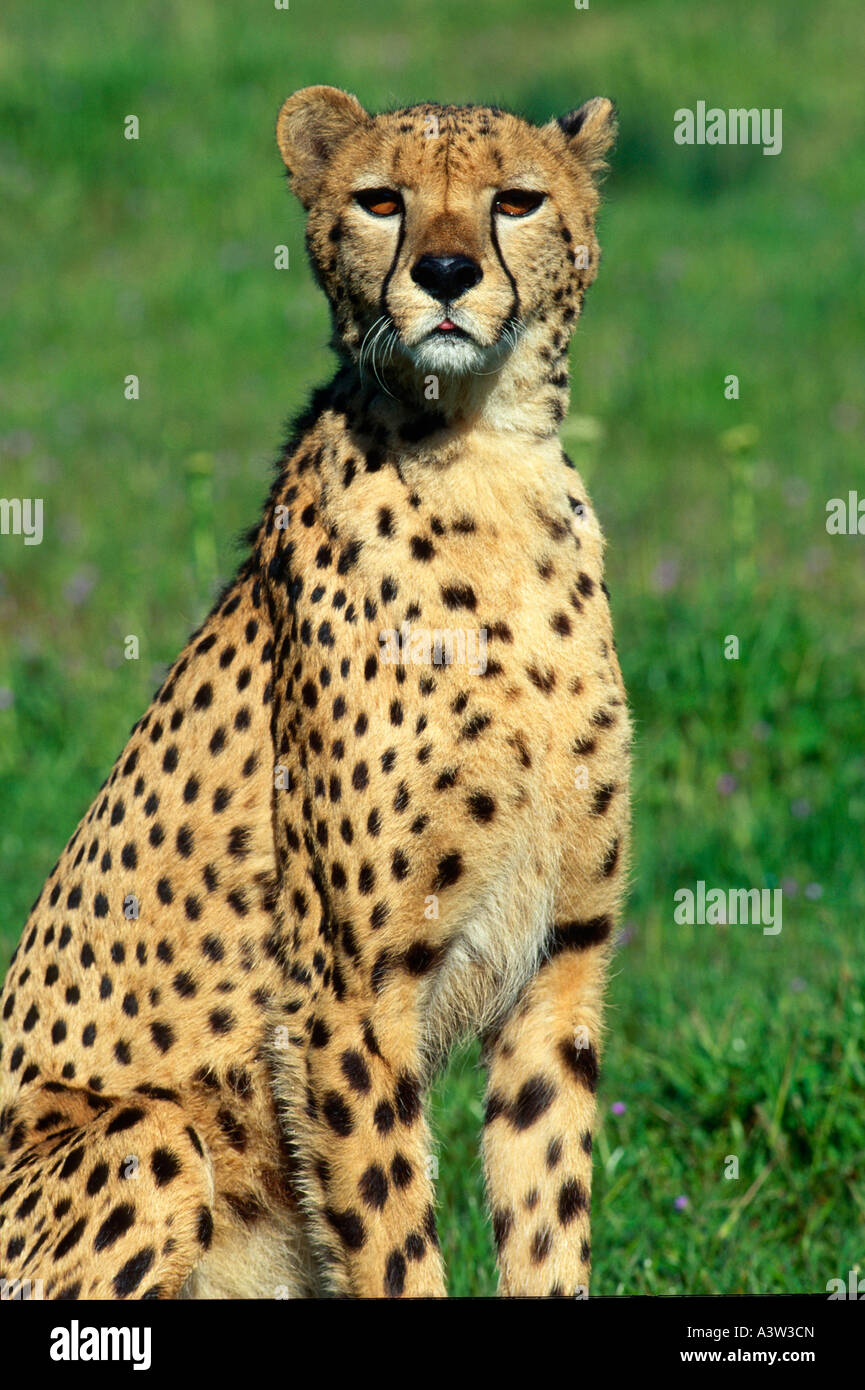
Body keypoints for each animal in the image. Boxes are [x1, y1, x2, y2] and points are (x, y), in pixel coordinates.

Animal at [0, 85, 631, 1299]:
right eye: (380, 201)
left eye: (515, 200)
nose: (444, 272)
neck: (482, 458)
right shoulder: (345, 995)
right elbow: (396, 1243)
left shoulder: (559, 967)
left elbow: (548, 1219)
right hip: (147, 1129)